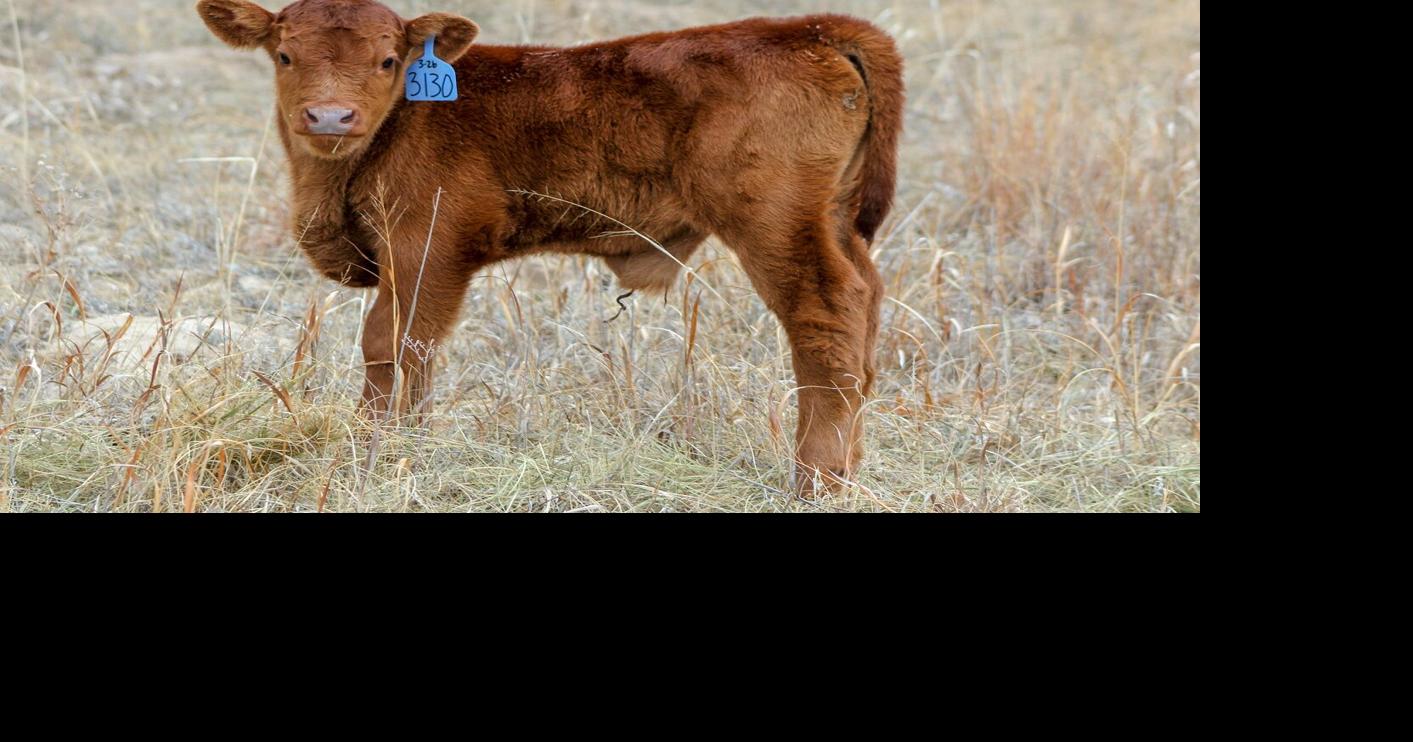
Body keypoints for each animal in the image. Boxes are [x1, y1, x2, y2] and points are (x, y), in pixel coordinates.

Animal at [195, 0, 903, 494]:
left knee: (826, 320)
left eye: (388, 61)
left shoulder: (429, 248)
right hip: (833, 223)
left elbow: (391, 343)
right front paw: (403, 445)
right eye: (285, 56)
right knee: (866, 308)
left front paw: (375, 451)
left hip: (776, 227)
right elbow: (411, 353)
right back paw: (848, 468)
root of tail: (812, 29)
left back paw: (815, 482)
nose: (330, 117)